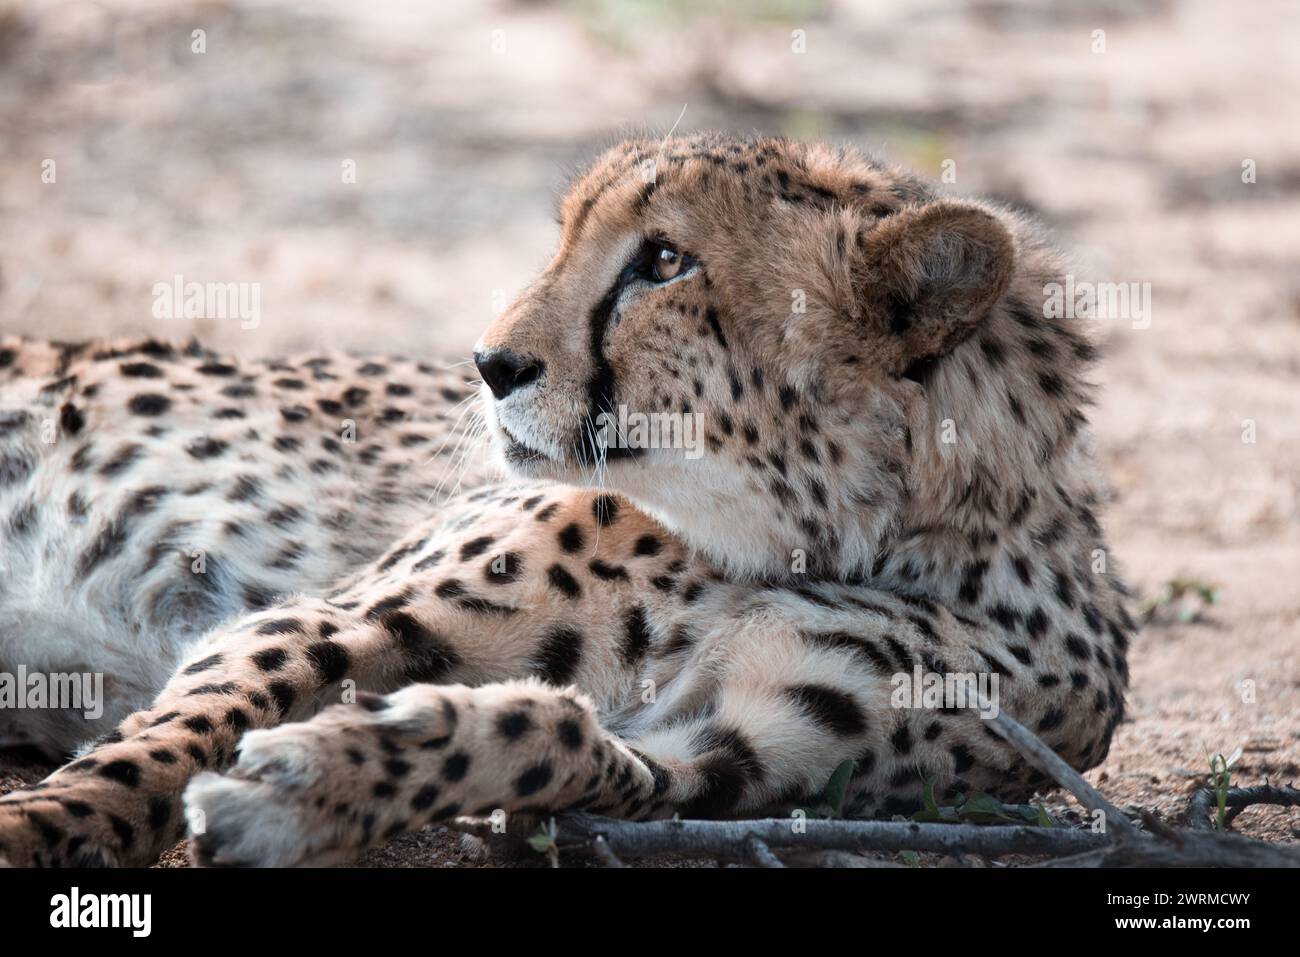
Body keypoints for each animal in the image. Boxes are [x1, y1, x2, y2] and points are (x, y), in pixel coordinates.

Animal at [0, 132, 1134, 867]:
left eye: (663, 260)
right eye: (565, 238)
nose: (490, 363)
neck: (832, 535)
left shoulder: (738, 759)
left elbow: (568, 742)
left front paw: (315, 784)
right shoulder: (323, 615)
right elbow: (170, 738)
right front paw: (46, 826)